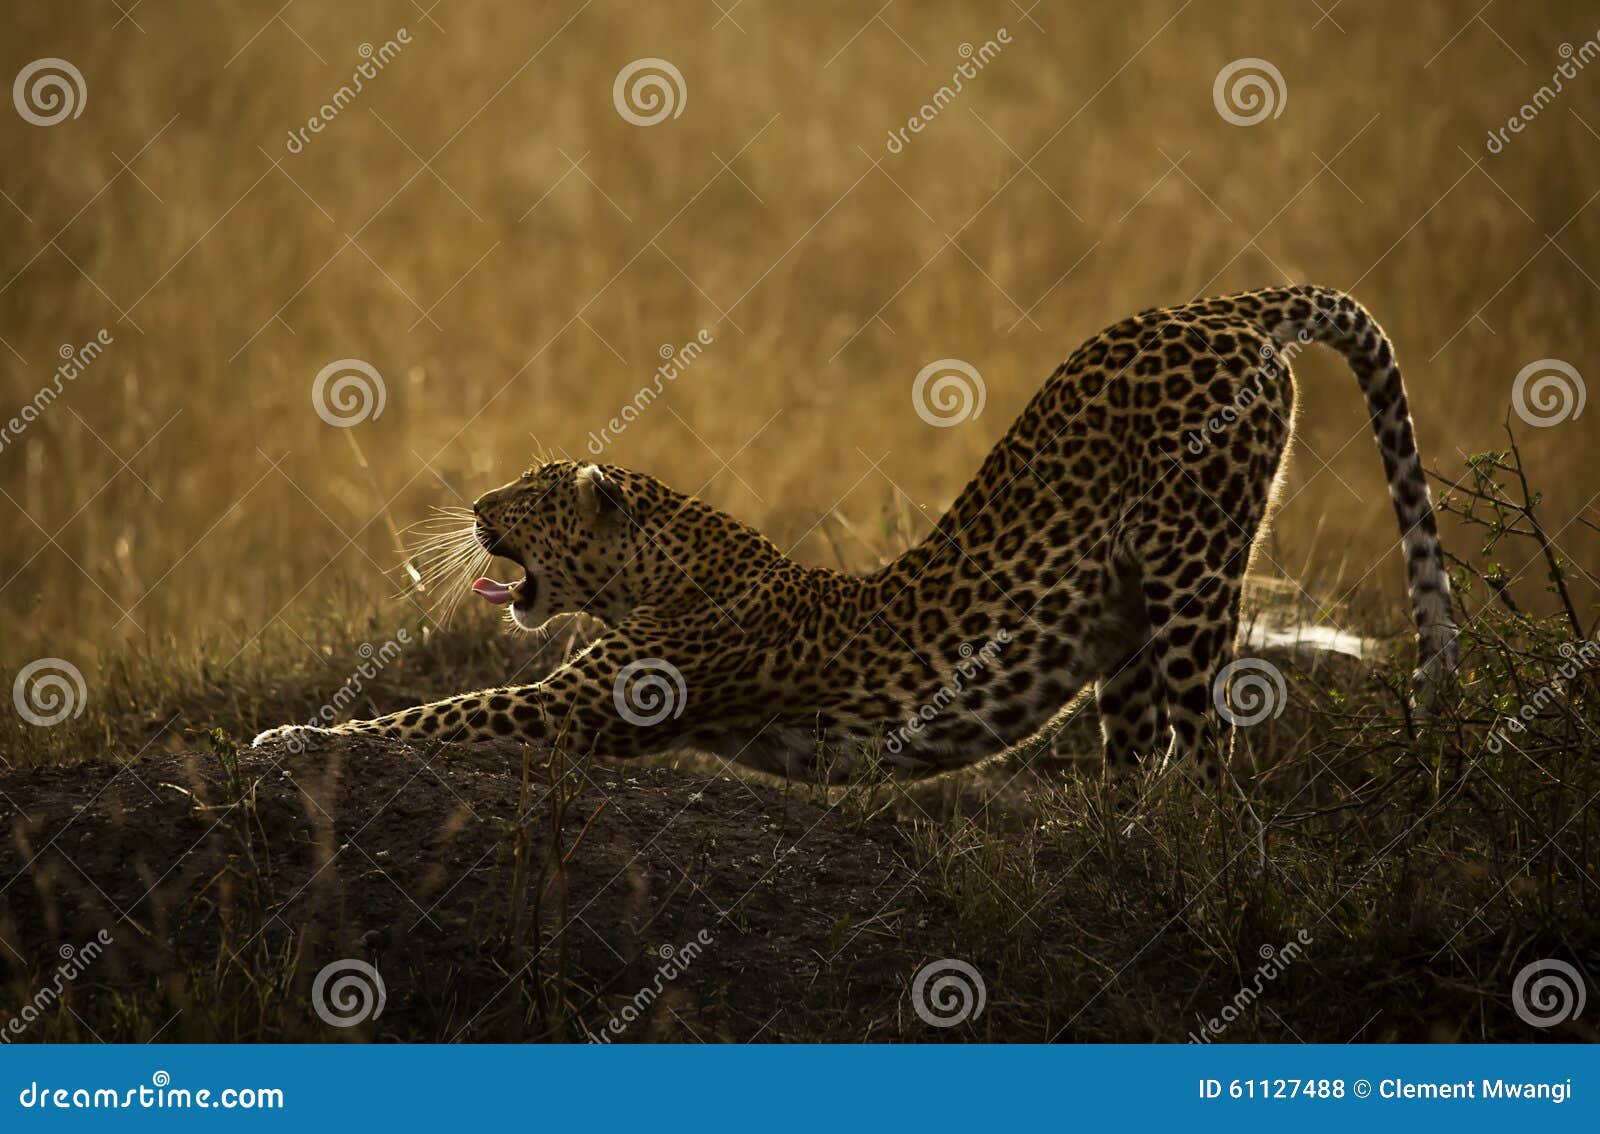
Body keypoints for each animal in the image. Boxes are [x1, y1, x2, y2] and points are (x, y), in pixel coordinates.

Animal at [253, 284, 1458, 785]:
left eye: (534, 492)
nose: (475, 510)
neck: (658, 565)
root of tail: (1226, 308)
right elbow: (435, 713)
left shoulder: (579, 704)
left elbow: (432, 716)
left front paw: (285, 742)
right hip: (1126, 615)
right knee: (1140, 738)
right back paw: (1110, 840)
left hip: (1196, 562)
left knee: (1206, 744)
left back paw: (1182, 833)